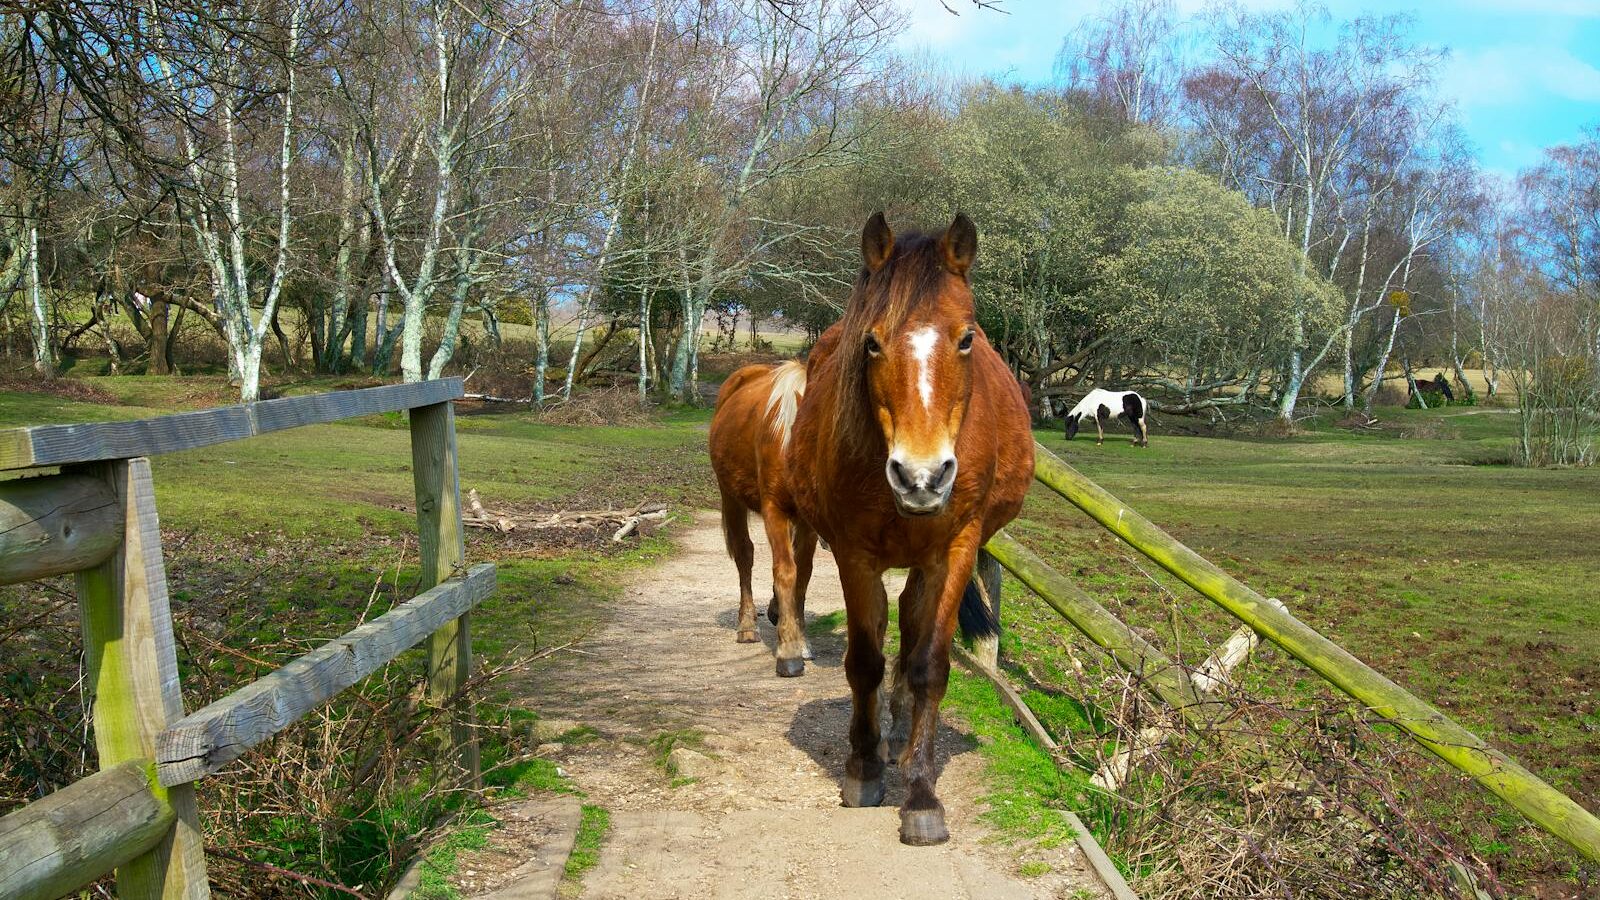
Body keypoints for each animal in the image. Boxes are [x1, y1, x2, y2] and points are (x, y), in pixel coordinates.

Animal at [708, 360, 816, 677]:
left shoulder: (809, 522)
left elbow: (803, 572)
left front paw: (800, 639)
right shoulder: (774, 511)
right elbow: (786, 571)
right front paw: (789, 652)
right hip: (731, 498)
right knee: (744, 555)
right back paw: (747, 626)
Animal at [784, 212, 1034, 846]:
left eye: (966, 339)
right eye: (872, 342)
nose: (921, 476)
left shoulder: (956, 550)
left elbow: (929, 665)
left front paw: (921, 794)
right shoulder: (854, 553)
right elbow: (864, 660)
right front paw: (863, 769)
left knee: (914, 618)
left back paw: (901, 732)